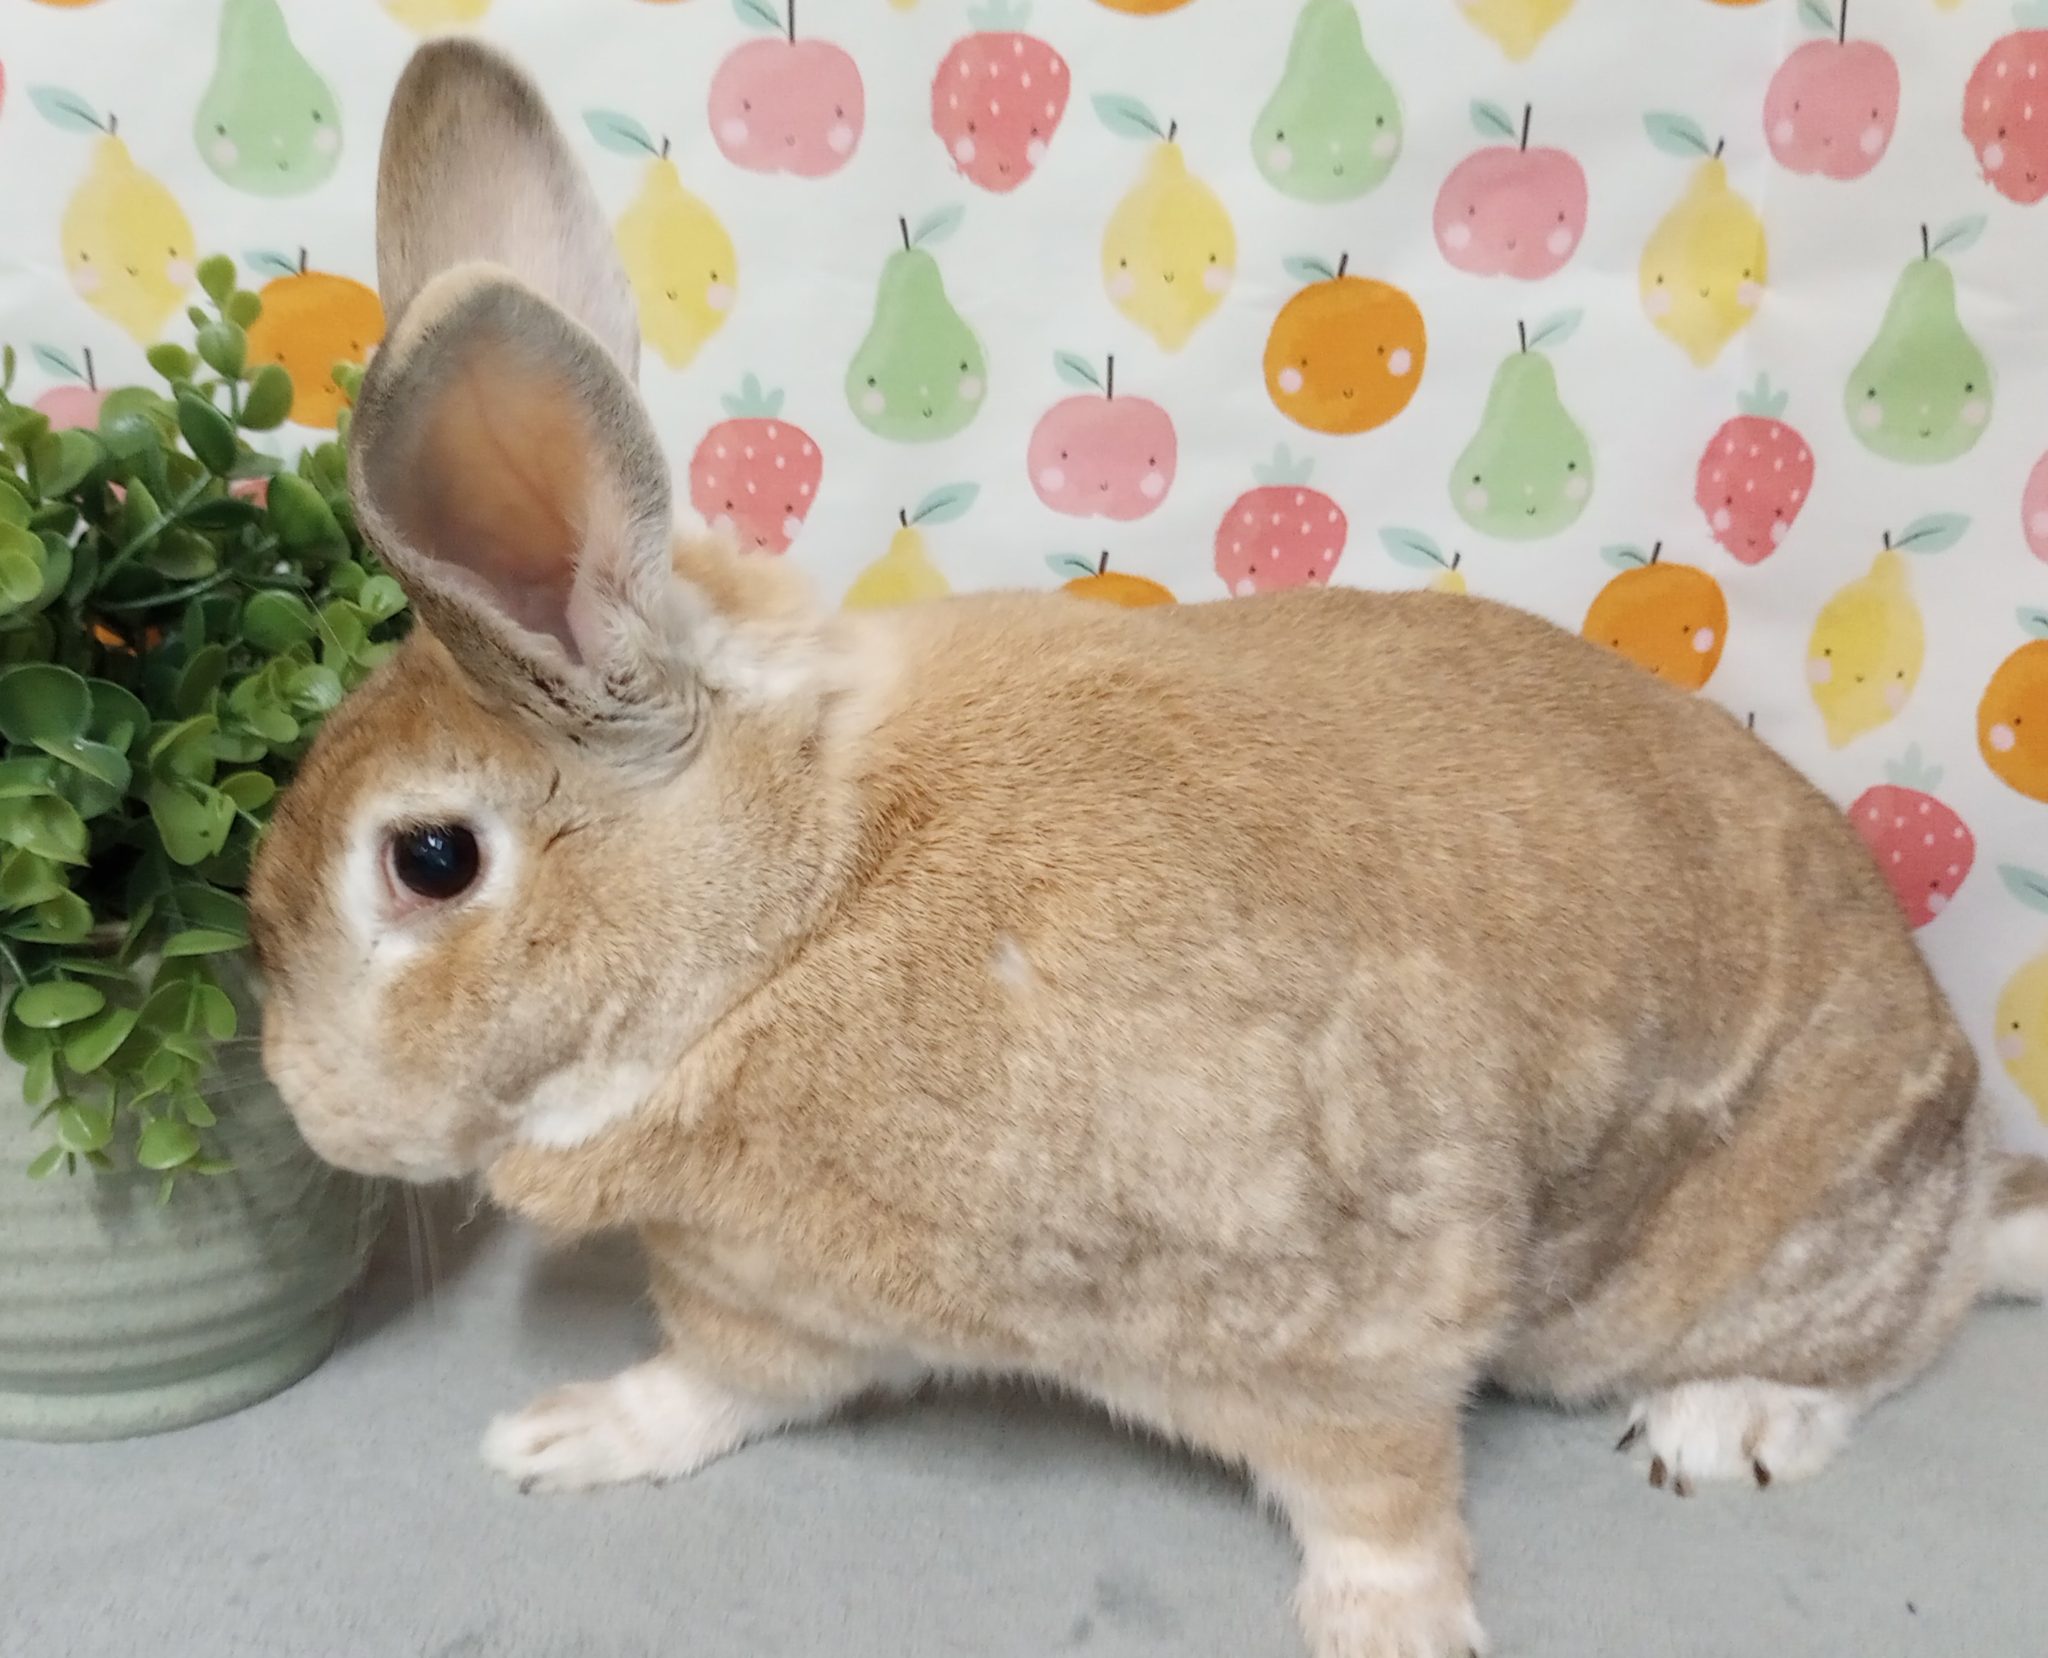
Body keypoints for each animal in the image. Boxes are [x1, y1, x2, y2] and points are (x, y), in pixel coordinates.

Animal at [248, 40, 2048, 1658]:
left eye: (427, 860)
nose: (304, 1100)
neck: (806, 912)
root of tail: (1965, 1143)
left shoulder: (1347, 1303)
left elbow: (1381, 1495)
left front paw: (1390, 1633)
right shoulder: (770, 1297)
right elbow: (712, 1385)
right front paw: (565, 1436)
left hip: (1739, 1251)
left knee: (1916, 1317)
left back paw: (1725, 1420)